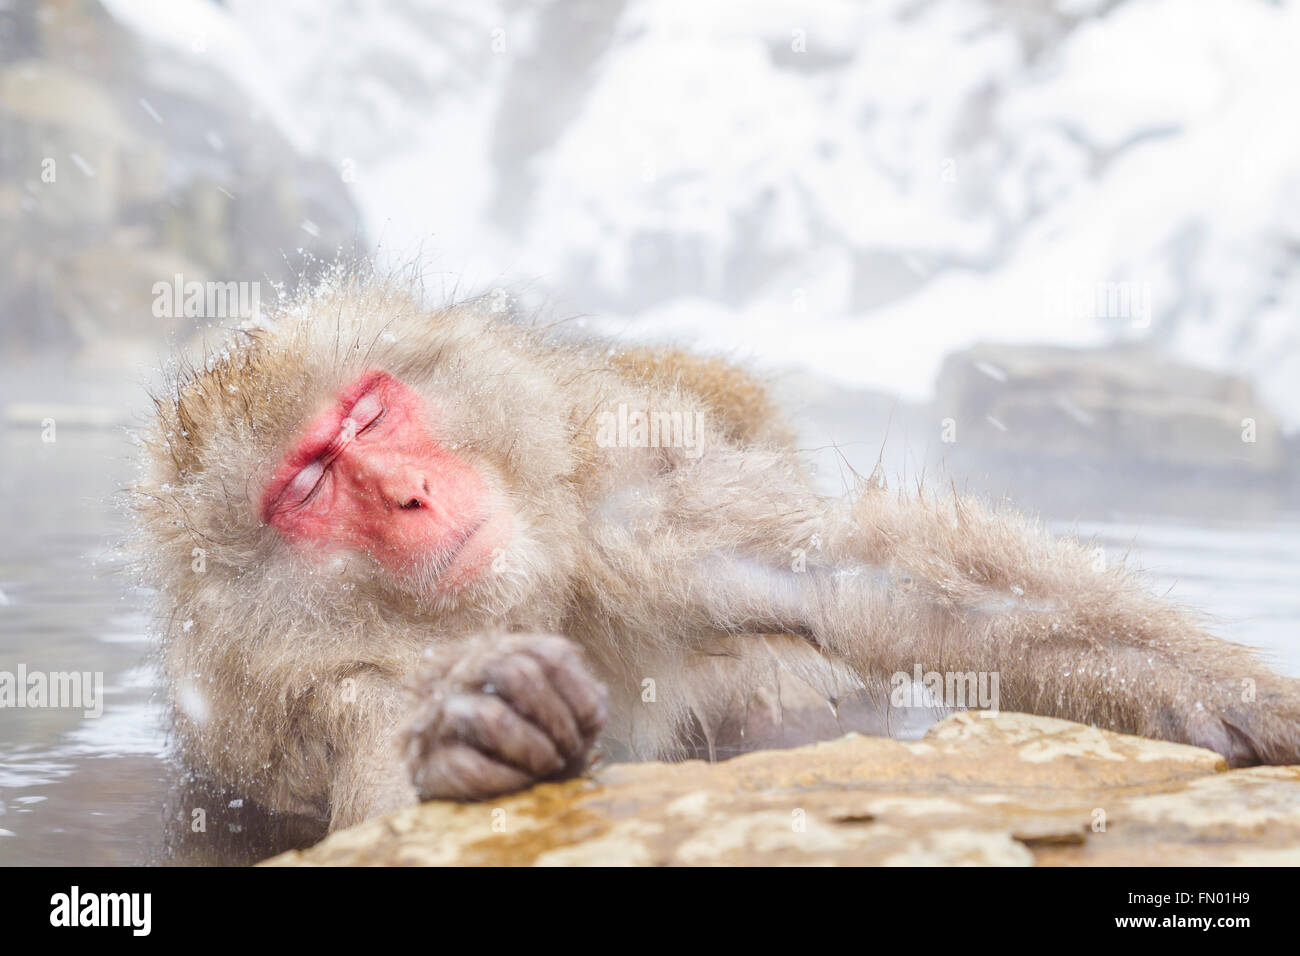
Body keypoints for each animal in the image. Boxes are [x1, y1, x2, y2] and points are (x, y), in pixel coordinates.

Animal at [133, 270, 1300, 832]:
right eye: (310, 486)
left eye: (369, 414)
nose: (409, 492)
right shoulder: (323, 694)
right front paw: (480, 726)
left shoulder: (634, 526)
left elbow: (883, 578)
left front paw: (1243, 698)